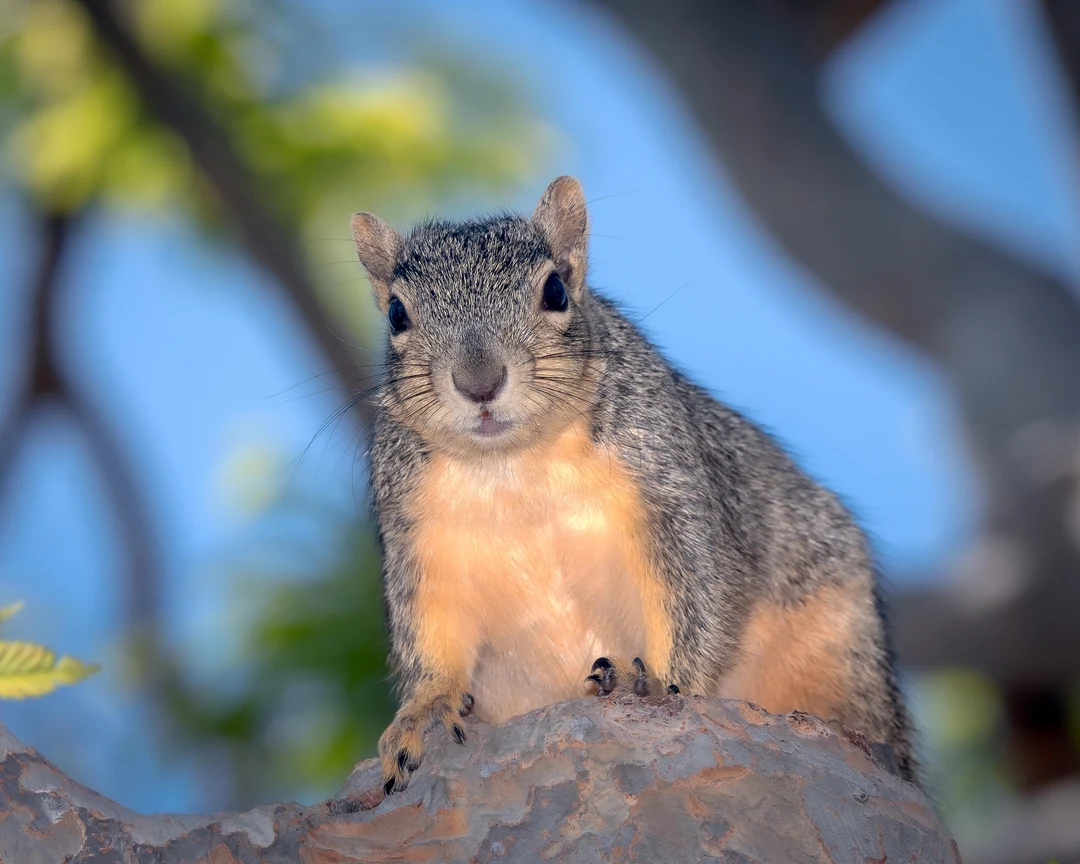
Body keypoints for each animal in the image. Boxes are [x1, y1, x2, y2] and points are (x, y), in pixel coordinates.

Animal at [350, 176, 917, 795]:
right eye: (397, 315)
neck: (513, 465)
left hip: (834, 645)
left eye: (556, 290)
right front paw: (426, 710)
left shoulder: (670, 489)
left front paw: (654, 678)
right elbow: (431, 632)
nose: (479, 382)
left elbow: (697, 594)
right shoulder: (418, 535)